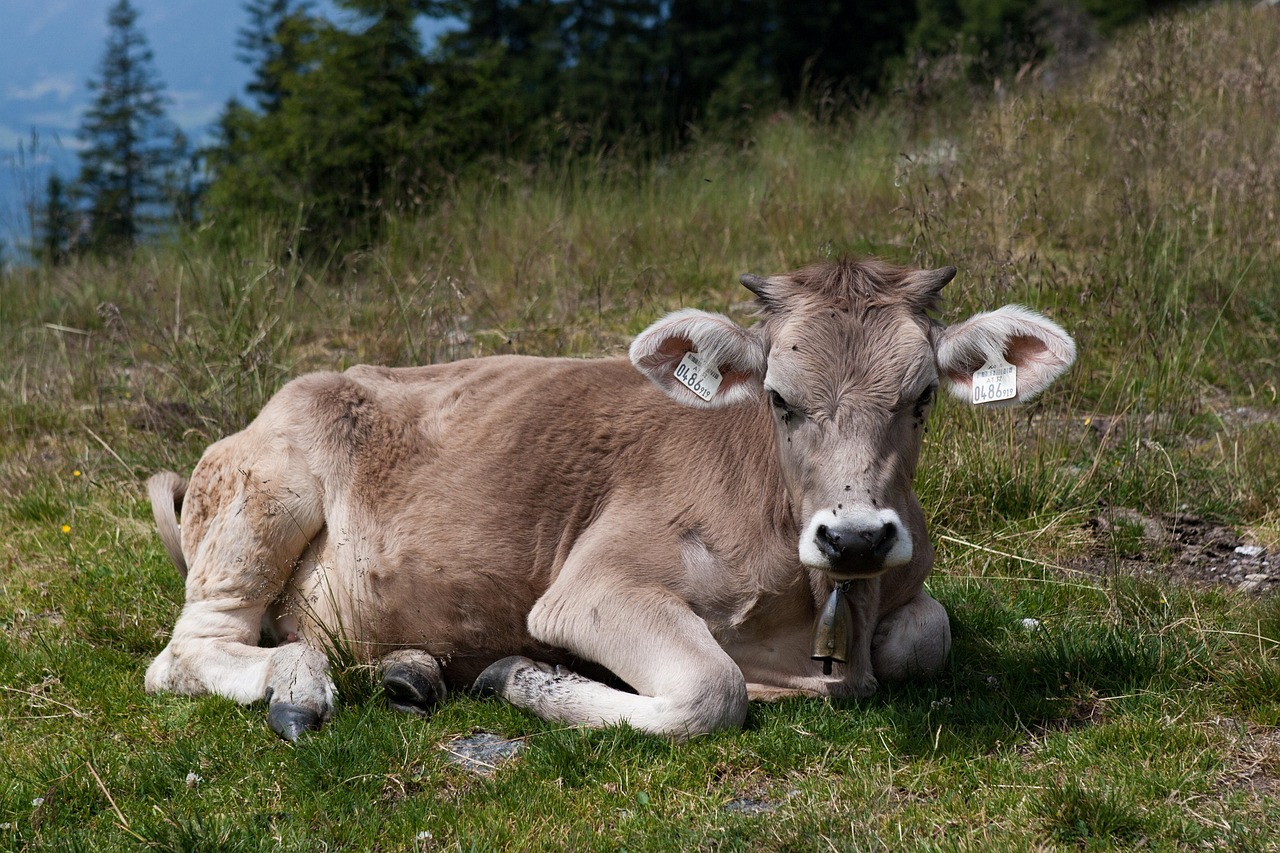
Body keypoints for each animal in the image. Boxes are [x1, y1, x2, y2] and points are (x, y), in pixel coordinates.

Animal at [144, 257, 1076, 741]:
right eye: (778, 398)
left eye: (921, 398)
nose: (854, 538)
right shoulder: (593, 587)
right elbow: (711, 691)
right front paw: (524, 674)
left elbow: (928, 633)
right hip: (265, 493)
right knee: (188, 650)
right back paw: (300, 684)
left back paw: (408, 669)